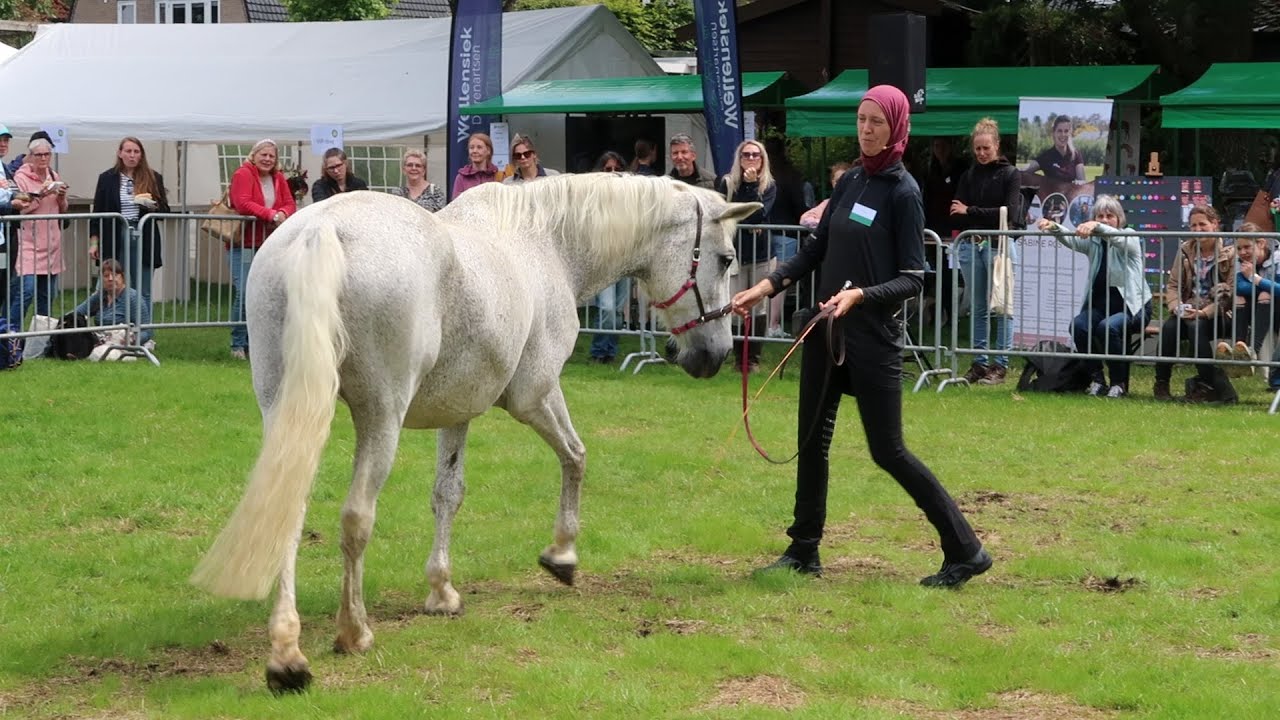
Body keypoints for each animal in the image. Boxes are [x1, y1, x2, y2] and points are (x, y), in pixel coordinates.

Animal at [190, 173, 762, 692]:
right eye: (726, 258)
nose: (714, 355)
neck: (548, 245)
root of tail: (322, 228)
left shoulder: (457, 412)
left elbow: (448, 493)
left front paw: (441, 591)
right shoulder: (534, 396)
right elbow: (575, 455)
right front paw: (562, 556)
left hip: (290, 412)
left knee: (285, 510)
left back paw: (287, 654)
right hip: (380, 418)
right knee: (355, 517)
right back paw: (353, 632)